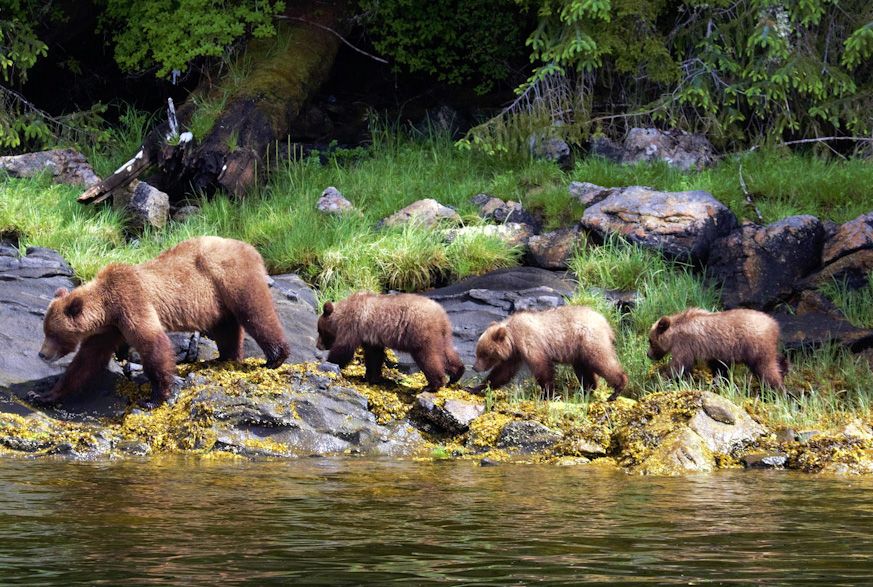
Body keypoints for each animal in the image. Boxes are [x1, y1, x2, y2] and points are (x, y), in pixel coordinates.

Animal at [37, 236, 290, 407]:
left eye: (54, 333)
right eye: (46, 330)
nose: (42, 354)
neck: (107, 307)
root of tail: (250, 247)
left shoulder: (131, 302)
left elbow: (152, 344)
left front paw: (155, 397)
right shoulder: (109, 328)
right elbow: (86, 360)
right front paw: (45, 395)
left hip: (231, 276)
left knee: (254, 312)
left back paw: (275, 357)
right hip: (215, 299)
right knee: (226, 326)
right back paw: (226, 357)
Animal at [316, 291, 464, 392]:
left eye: (320, 330)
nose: (318, 345)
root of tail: (440, 314)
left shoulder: (352, 325)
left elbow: (343, 349)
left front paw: (329, 362)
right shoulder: (370, 337)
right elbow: (374, 356)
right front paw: (371, 377)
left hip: (421, 333)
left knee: (428, 357)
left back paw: (433, 385)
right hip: (443, 335)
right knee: (447, 354)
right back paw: (457, 373)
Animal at [471, 305, 628, 401]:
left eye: (484, 354)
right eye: (478, 352)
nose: (475, 367)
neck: (513, 338)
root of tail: (606, 323)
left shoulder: (530, 343)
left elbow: (542, 368)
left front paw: (546, 394)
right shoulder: (514, 355)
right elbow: (502, 373)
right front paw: (475, 387)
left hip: (589, 340)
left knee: (602, 361)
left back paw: (617, 389)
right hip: (579, 352)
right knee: (584, 370)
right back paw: (586, 391)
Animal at [647, 307, 788, 388]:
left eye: (650, 341)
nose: (648, 354)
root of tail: (774, 325)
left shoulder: (685, 345)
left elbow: (679, 366)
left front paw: (661, 379)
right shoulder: (716, 353)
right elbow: (720, 369)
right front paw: (720, 383)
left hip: (756, 347)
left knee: (766, 369)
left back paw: (777, 390)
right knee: (778, 358)